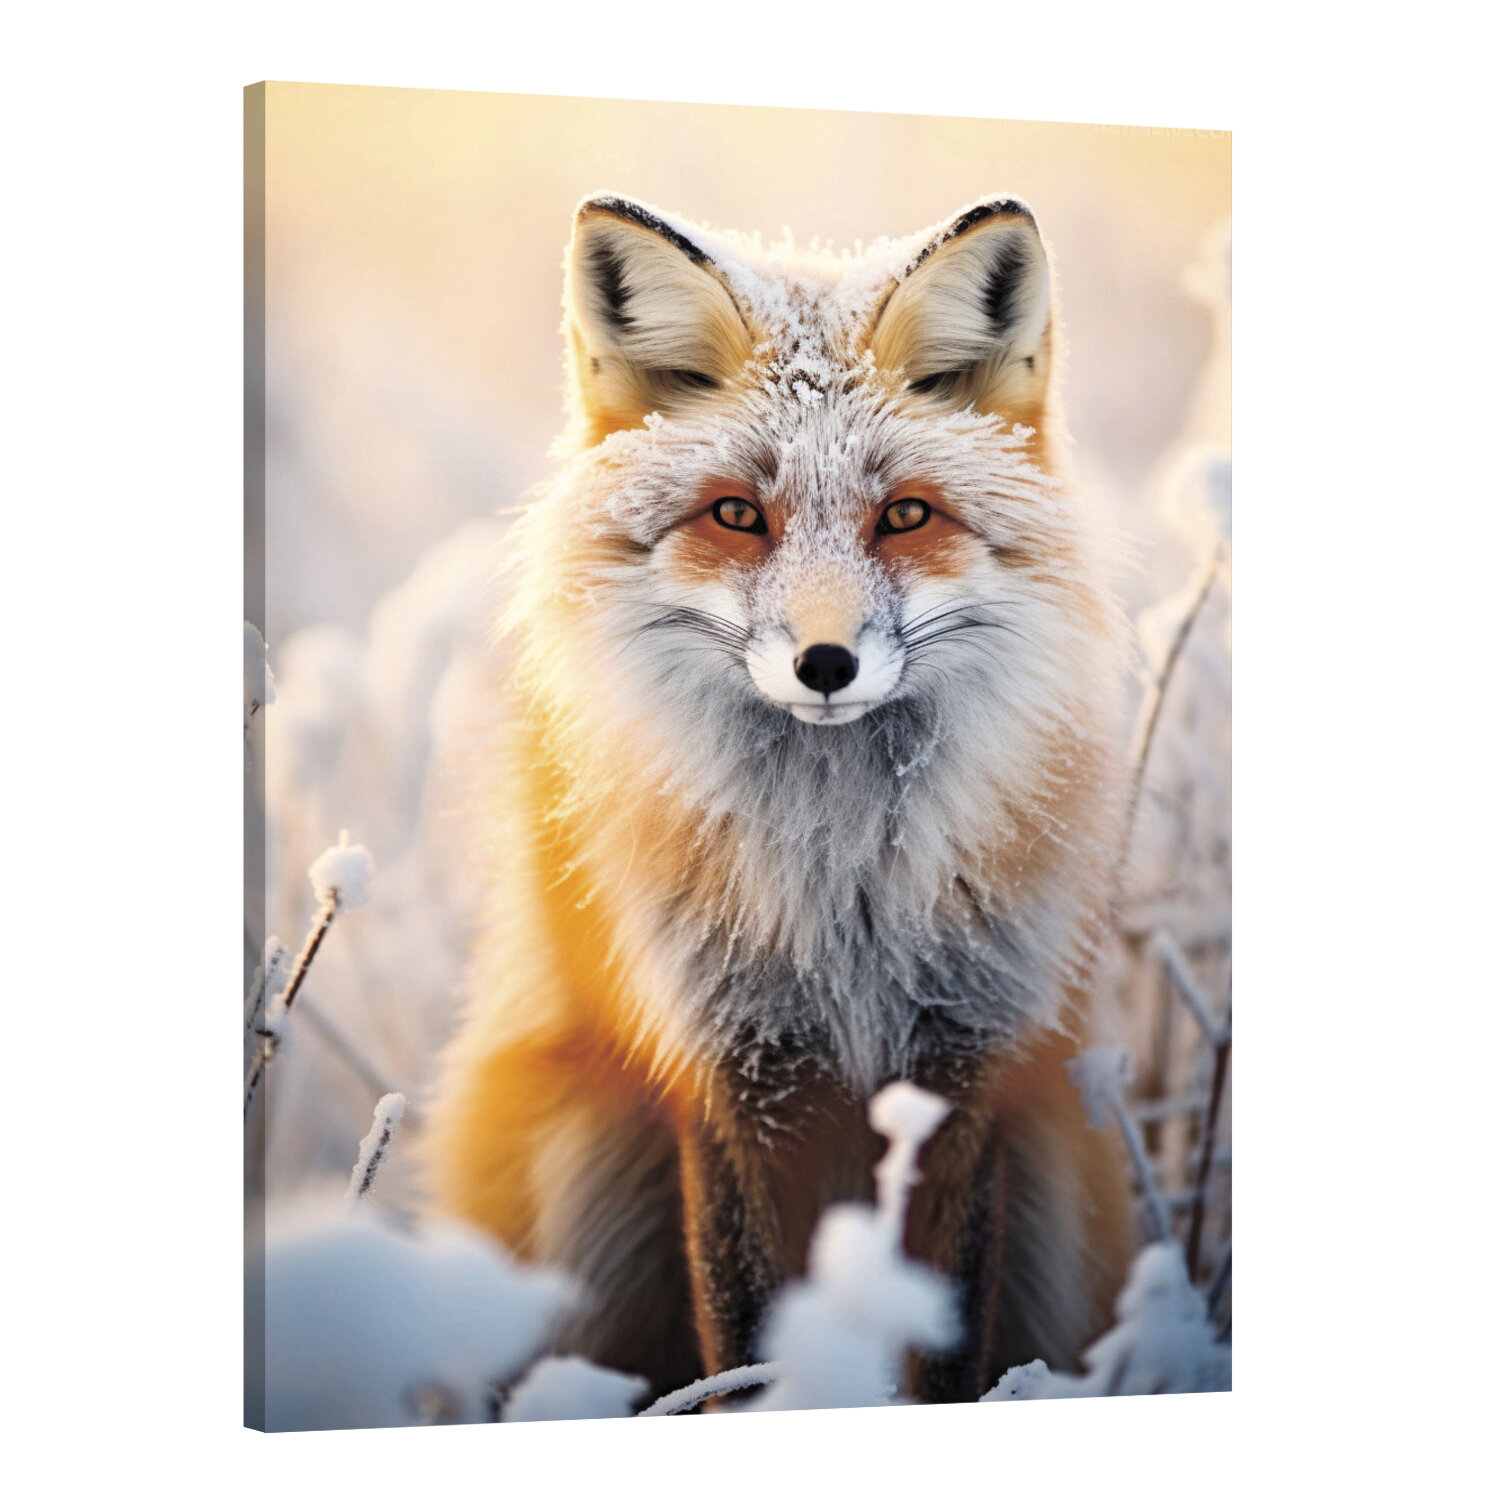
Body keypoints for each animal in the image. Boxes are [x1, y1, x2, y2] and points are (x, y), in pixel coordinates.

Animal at [424, 192, 1136, 1405]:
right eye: (736, 515)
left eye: (905, 516)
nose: (825, 664)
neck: (842, 891)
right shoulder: (720, 1068)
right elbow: (743, 1339)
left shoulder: (964, 1065)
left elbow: (946, 1346)